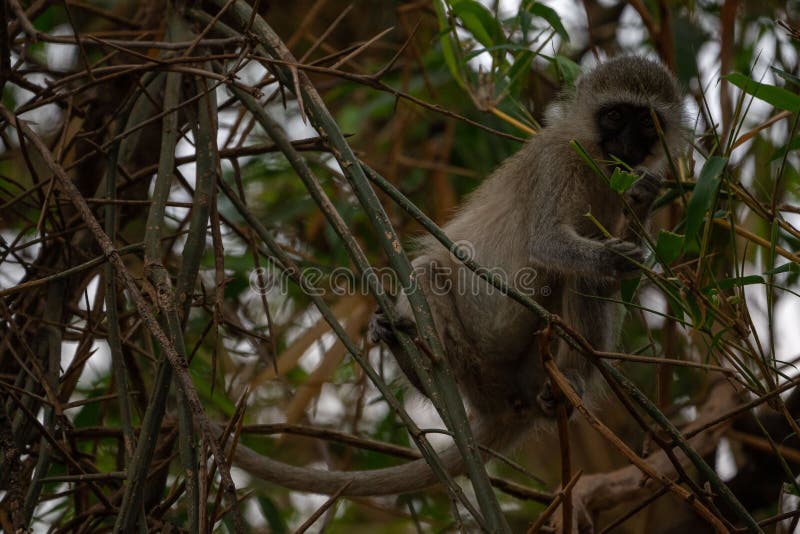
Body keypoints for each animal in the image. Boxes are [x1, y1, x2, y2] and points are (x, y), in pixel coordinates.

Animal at [225, 55, 687, 497]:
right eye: (615, 115)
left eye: (646, 122)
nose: (628, 144)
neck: (595, 158)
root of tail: (505, 405)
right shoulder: (557, 162)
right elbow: (547, 244)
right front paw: (614, 255)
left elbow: (611, 266)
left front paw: (643, 199)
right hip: (476, 369)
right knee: (433, 275)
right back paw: (410, 356)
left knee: (582, 282)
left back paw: (568, 384)